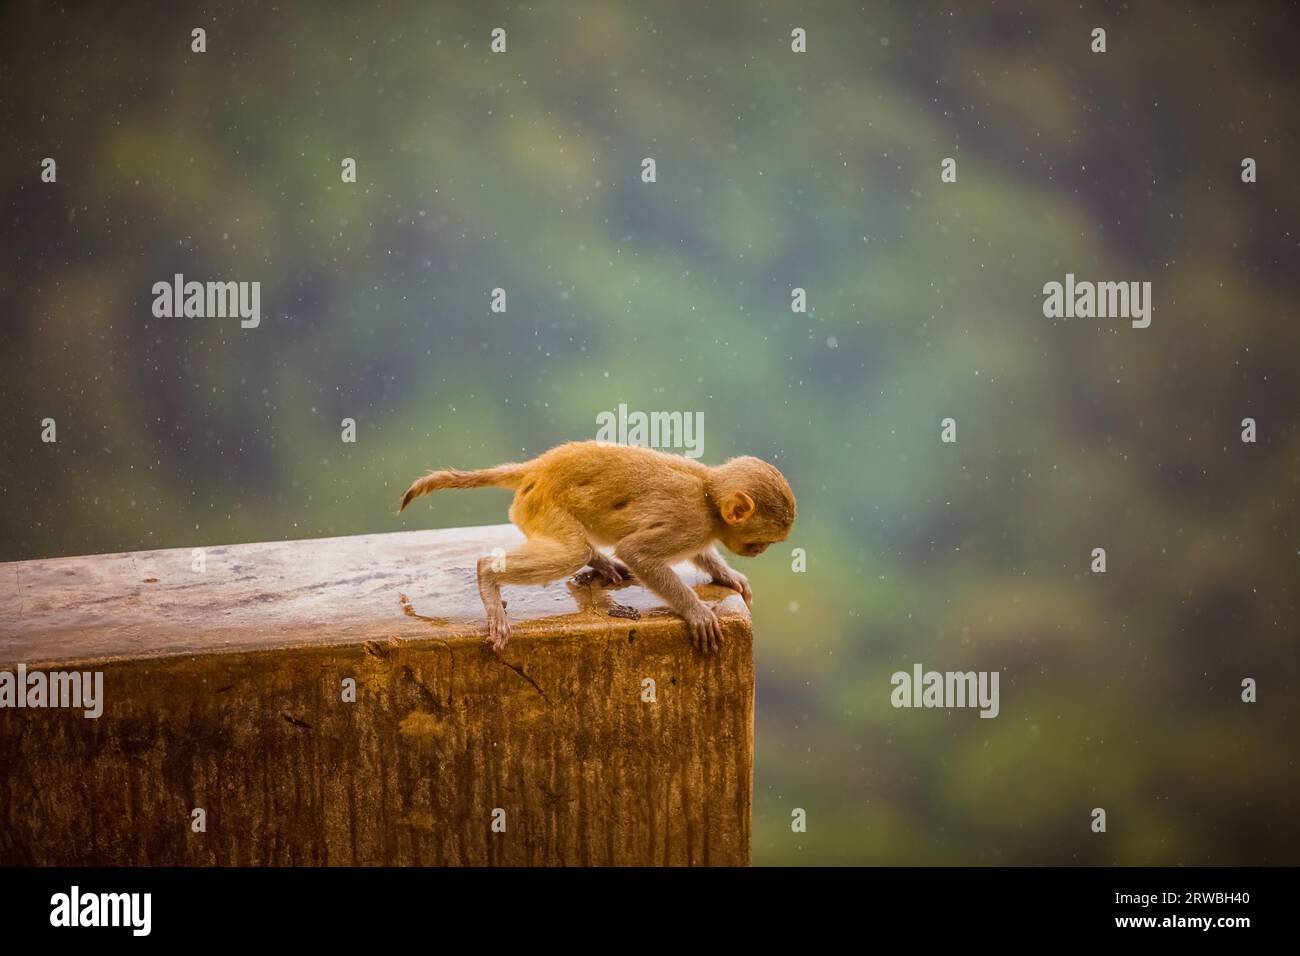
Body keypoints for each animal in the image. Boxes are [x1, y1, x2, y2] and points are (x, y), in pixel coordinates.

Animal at [398, 441, 796, 654]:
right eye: (761, 541)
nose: (758, 552)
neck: (709, 494)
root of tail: (537, 467)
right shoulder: (691, 521)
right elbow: (637, 553)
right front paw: (696, 611)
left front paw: (727, 575)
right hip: (539, 505)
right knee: (569, 550)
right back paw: (488, 578)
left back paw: (597, 560)